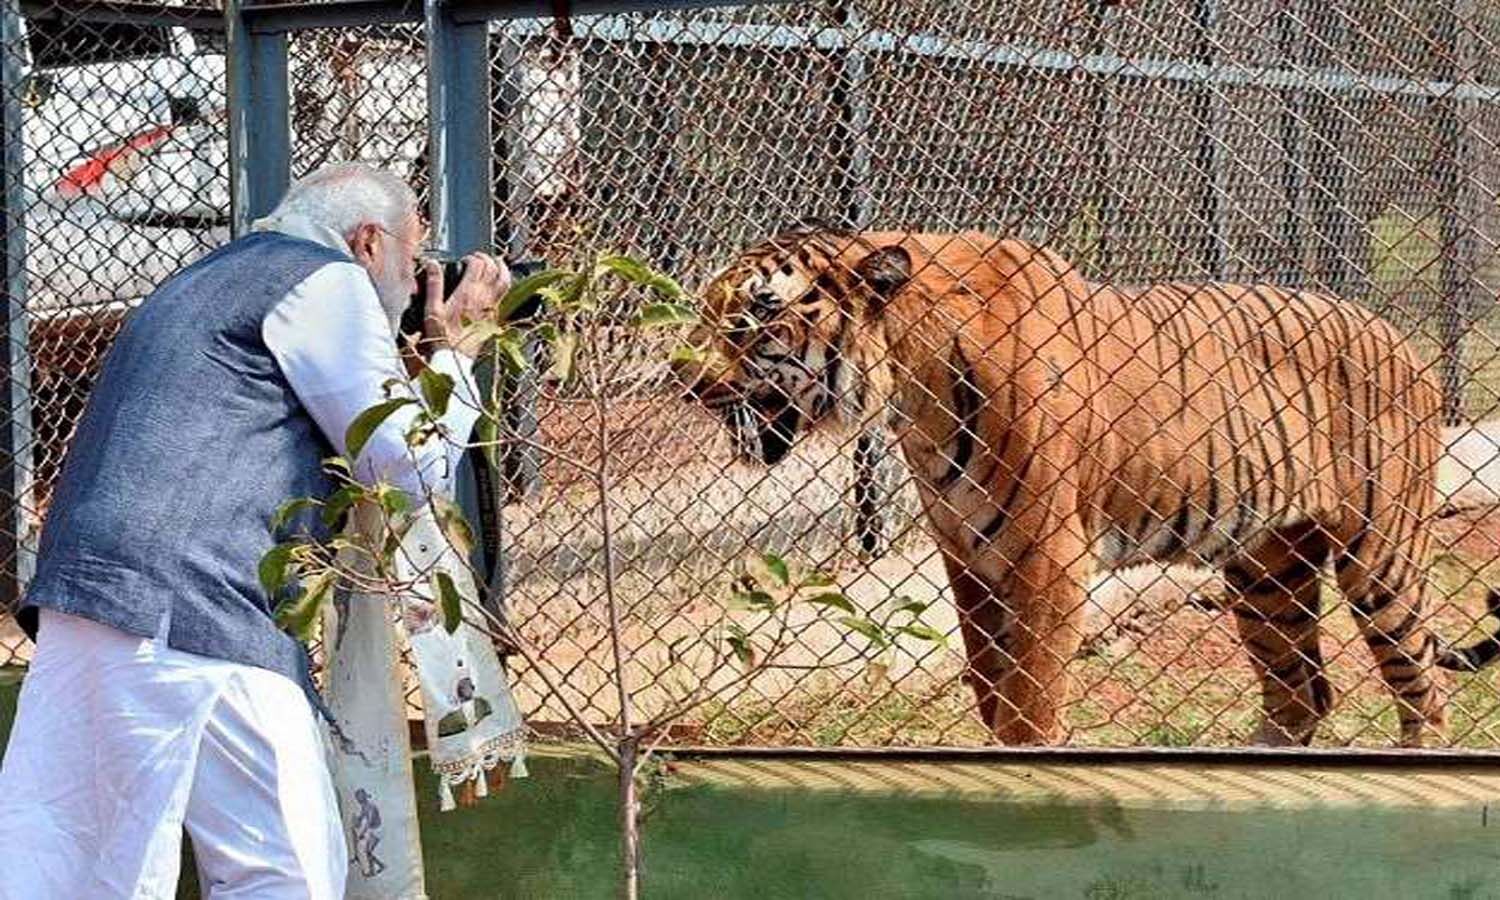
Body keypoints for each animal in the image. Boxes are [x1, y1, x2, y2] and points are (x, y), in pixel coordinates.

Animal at [678, 223, 1500, 747]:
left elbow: (1028, 706)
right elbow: (988, 683)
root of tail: (1401, 337)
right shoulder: (968, 558)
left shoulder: (1050, 562)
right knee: (1302, 694)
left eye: (753, 319)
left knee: (1422, 692)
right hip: (1266, 569)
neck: (908, 388)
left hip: (1379, 555)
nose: (684, 382)